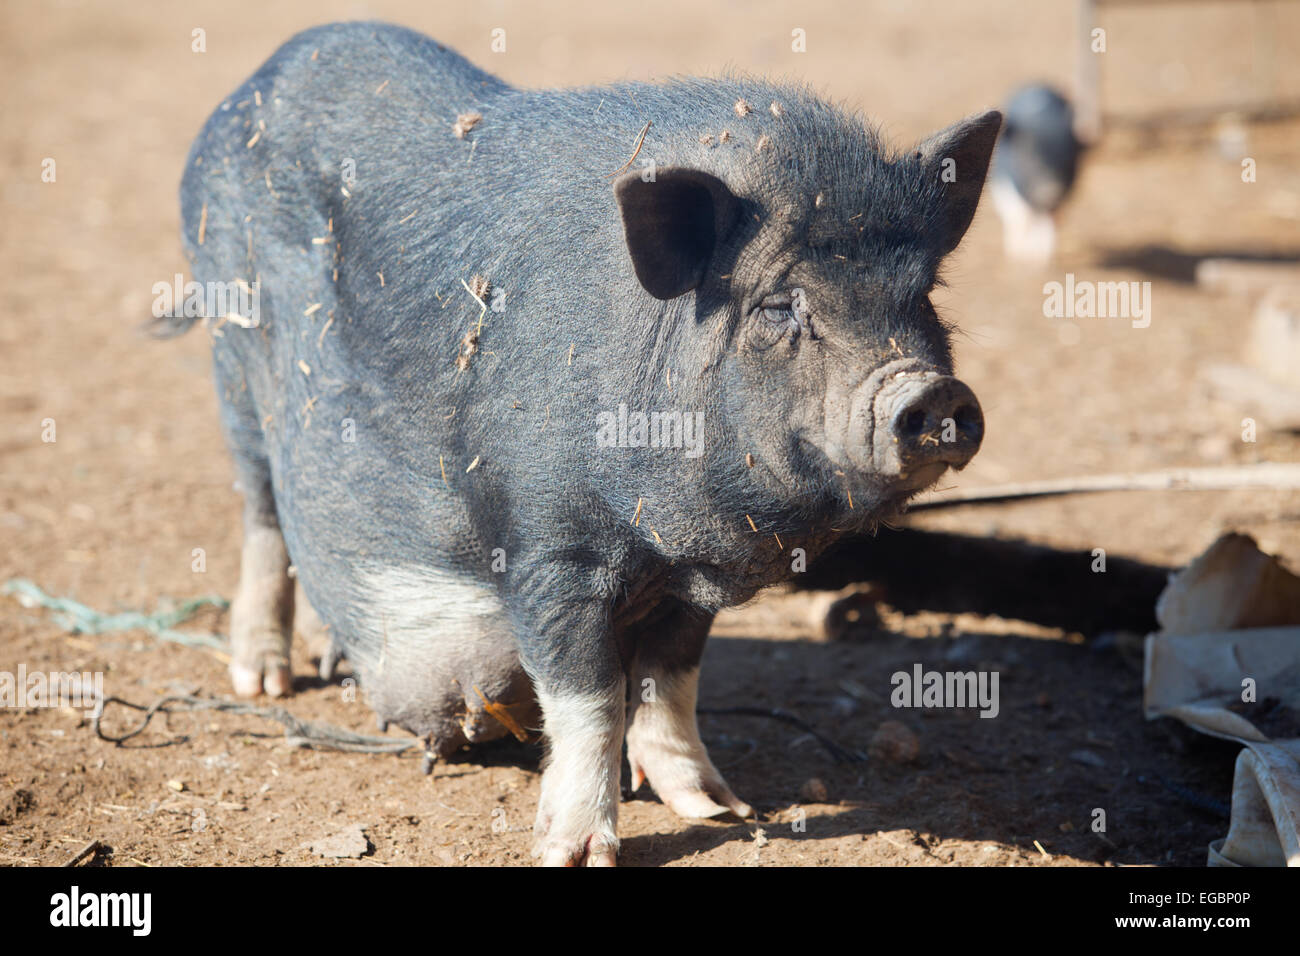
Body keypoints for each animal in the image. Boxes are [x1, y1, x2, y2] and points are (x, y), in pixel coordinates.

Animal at [172, 21, 999, 866]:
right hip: (231, 355)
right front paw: (576, 853)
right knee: (262, 510)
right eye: (779, 305)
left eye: (924, 296)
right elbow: (589, 694)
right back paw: (263, 682)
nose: (930, 391)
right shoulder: (544, 545)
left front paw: (724, 811)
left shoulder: (687, 573)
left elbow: (671, 679)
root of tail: (259, 79)